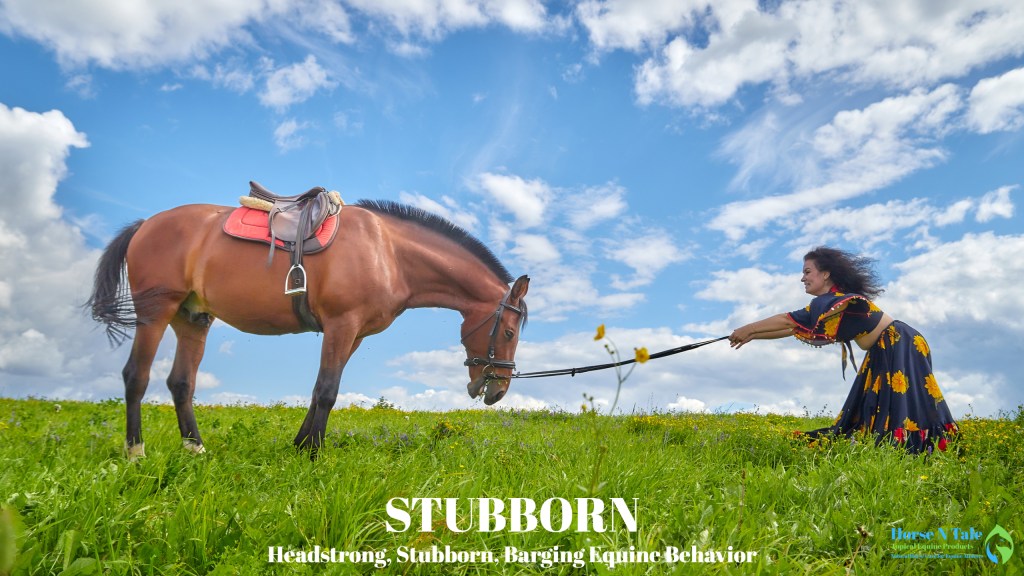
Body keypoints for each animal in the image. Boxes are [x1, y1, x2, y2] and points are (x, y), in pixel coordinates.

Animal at [88, 199, 529, 458]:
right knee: (136, 377)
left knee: (181, 383)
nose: (499, 391)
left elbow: (320, 389)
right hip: (155, 313)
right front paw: (314, 453)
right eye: (509, 333)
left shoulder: (353, 335)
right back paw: (135, 452)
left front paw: (301, 445)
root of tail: (146, 224)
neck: (388, 252)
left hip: (193, 320)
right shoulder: (341, 324)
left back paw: (195, 449)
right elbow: (329, 391)